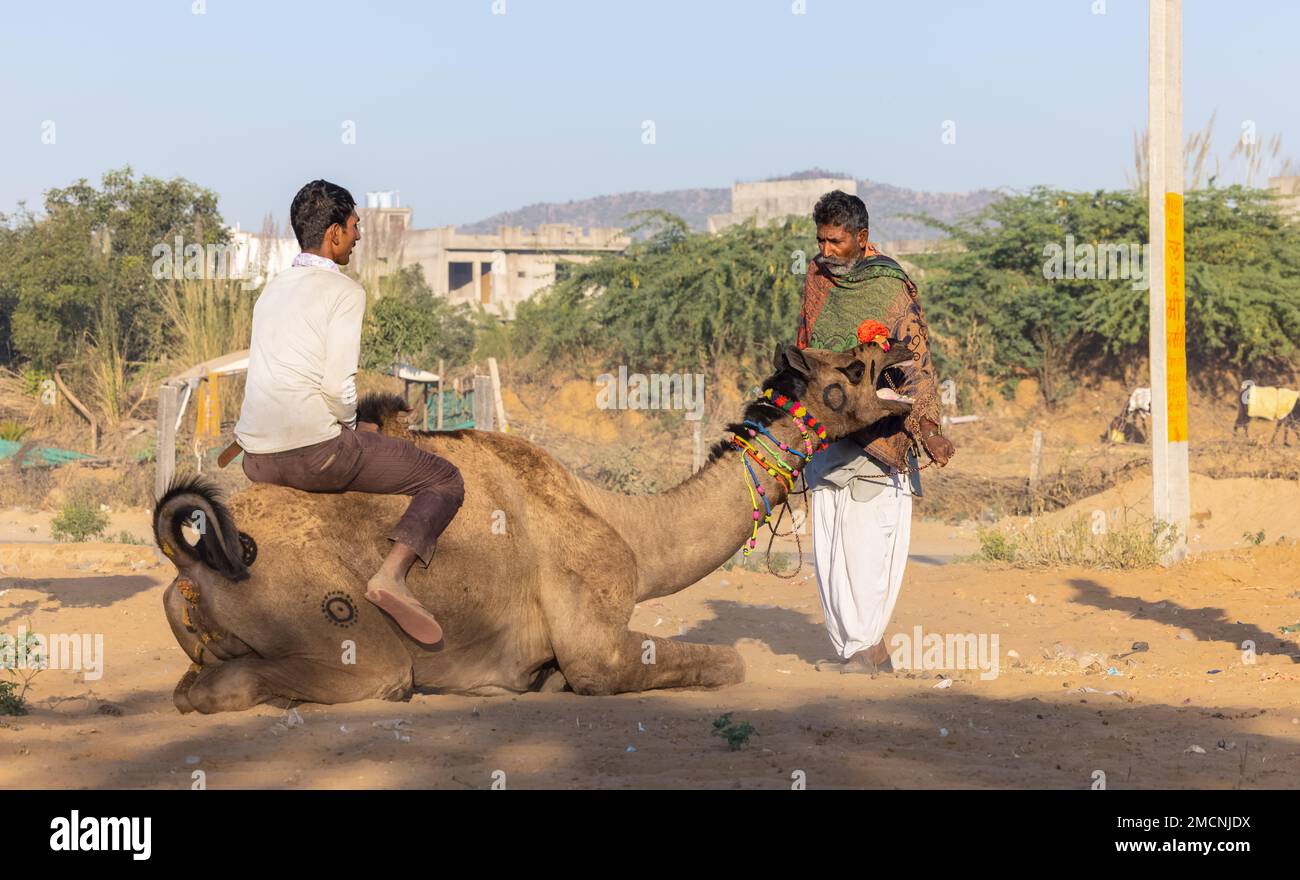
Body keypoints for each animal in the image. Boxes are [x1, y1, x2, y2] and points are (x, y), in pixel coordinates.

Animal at [154, 341, 917, 713]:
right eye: (852, 370)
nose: (901, 361)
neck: (628, 526)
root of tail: (194, 562)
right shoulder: (594, 634)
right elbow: (727, 662)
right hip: (346, 632)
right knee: (284, 683)